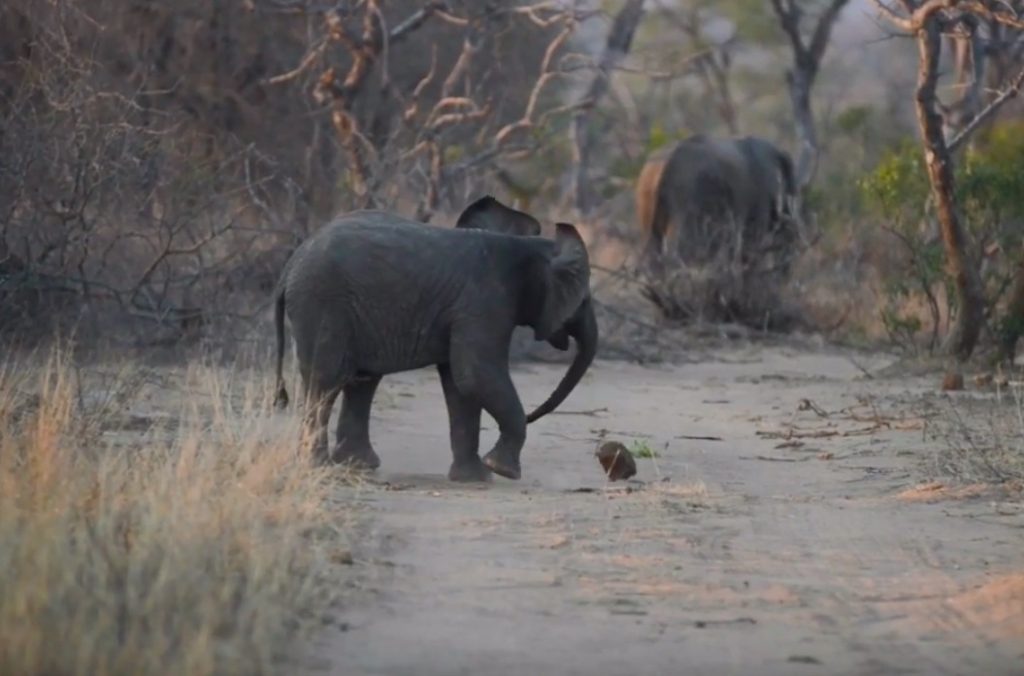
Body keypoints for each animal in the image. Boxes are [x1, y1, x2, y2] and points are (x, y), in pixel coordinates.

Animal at [272, 196, 598, 482]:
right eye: (583, 300)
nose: (532, 415)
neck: (525, 249)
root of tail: (290, 265)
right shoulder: (483, 303)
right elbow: (475, 375)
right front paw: (501, 471)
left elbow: (461, 385)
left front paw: (475, 479)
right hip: (323, 302)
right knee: (327, 379)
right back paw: (320, 466)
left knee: (361, 380)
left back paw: (356, 465)